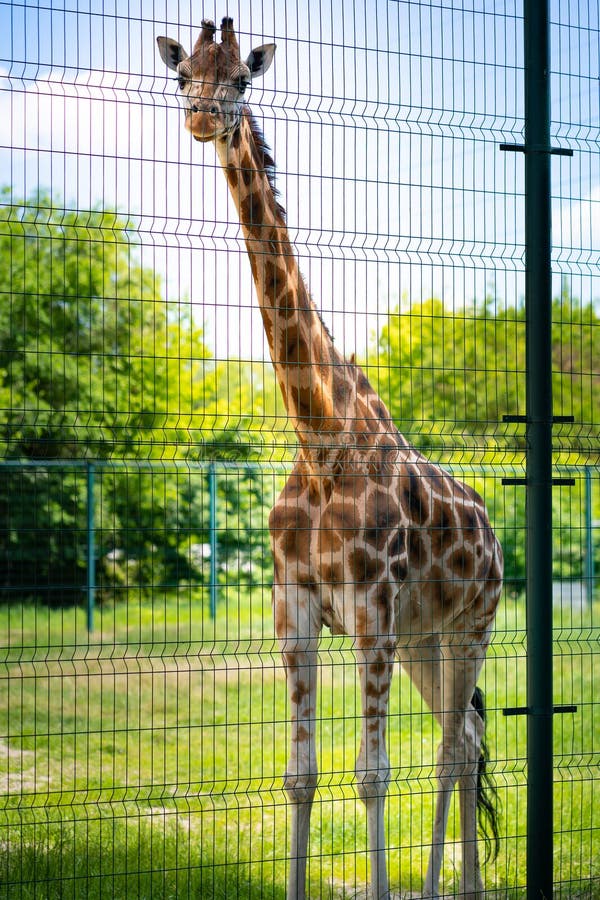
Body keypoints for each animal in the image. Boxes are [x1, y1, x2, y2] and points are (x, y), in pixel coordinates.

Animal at [158, 17, 503, 899]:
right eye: (183, 77)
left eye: (242, 79)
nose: (203, 118)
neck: (321, 440)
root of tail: (492, 532)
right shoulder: (297, 607)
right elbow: (301, 776)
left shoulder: (374, 609)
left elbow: (372, 774)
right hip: (425, 639)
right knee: (466, 737)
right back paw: (449, 884)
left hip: (471, 622)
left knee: (454, 746)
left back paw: (453, 887)